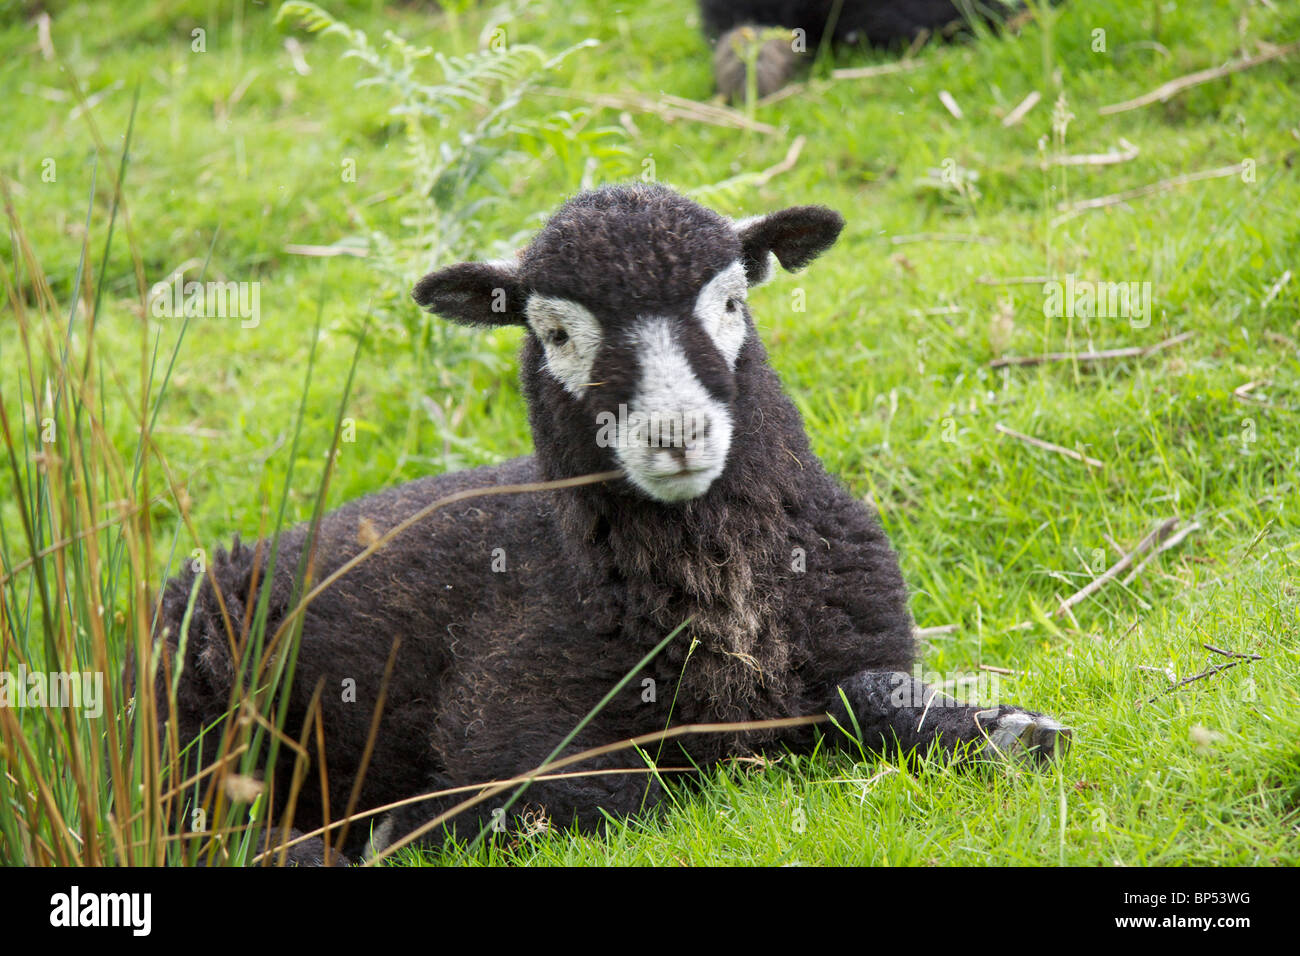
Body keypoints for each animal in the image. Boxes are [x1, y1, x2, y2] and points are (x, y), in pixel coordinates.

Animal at [154, 182, 1070, 863]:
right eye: (557, 332)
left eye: (731, 301)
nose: (677, 433)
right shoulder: (510, 732)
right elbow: (616, 795)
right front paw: (407, 831)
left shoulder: (860, 649)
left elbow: (868, 699)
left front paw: (1003, 730)